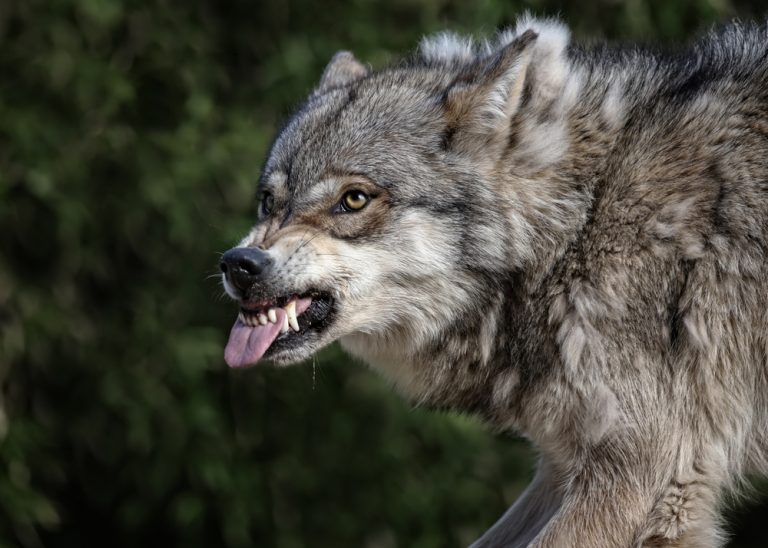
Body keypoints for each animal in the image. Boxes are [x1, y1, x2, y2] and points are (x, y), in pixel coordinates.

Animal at [219, 15, 768, 546]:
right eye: (268, 201)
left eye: (353, 199)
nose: (239, 264)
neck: (576, 226)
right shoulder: (563, 468)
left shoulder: (643, 473)